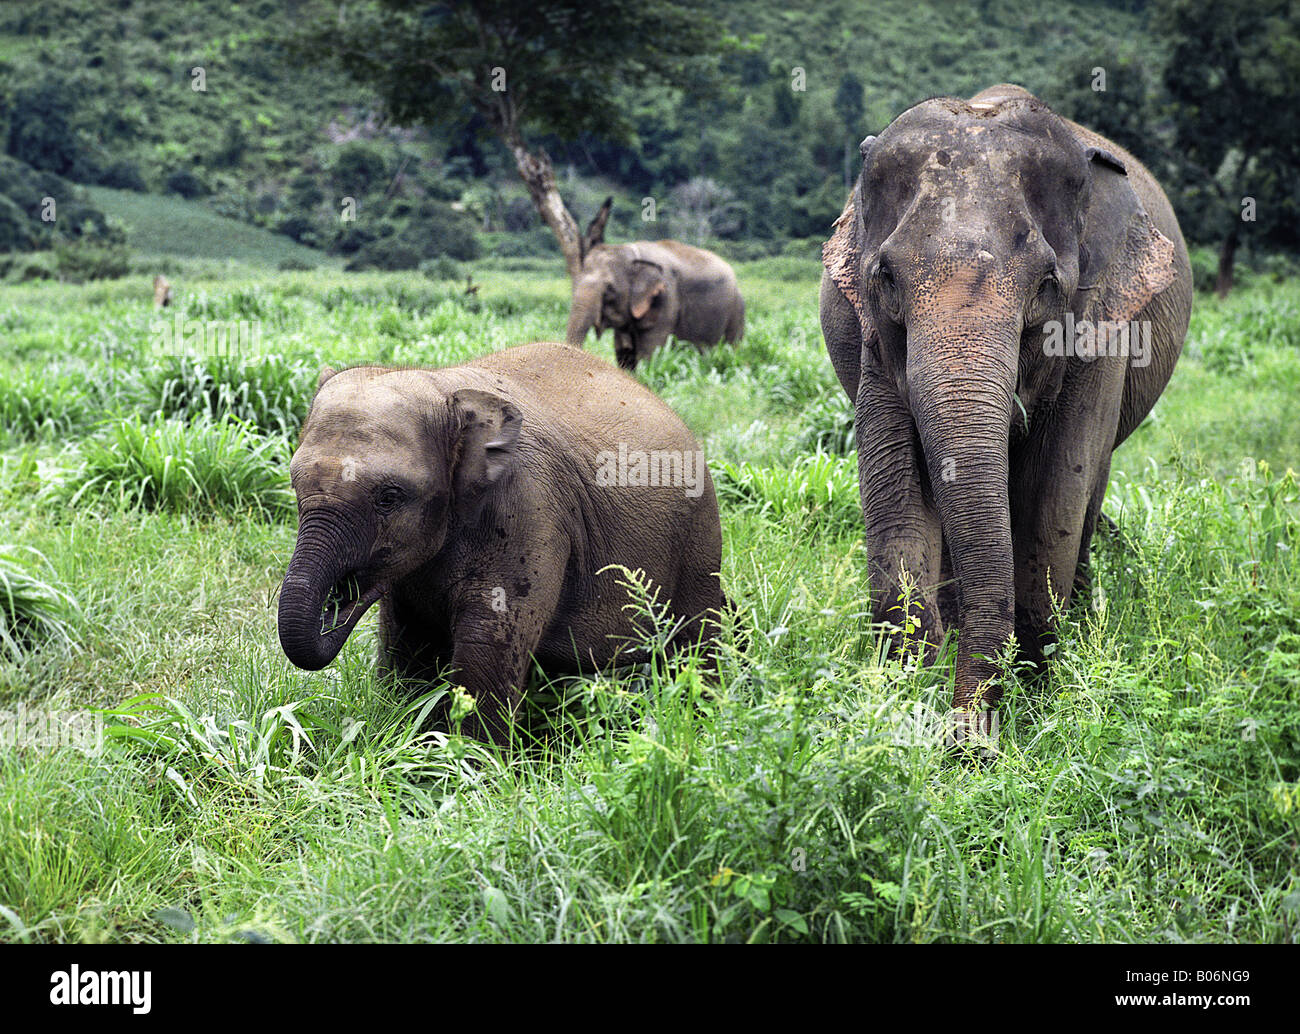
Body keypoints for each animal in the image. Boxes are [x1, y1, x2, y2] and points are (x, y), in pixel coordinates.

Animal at [277, 342, 726, 745]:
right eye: (295, 486)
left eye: (389, 497)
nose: (343, 598)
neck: (447, 388)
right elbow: (407, 643)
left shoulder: (530, 513)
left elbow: (487, 642)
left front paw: (473, 765)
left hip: (700, 535)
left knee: (700, 631)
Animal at [565, 198, 745, 370]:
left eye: (609, 290)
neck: (632, 254)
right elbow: (624, 354)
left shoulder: (665, 301)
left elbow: (650, 354)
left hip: (737, 311)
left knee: (732, 347)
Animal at [820, 83, 1192, 737]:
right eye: (885, 277)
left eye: (1047, 284)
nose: (964, 741)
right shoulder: (874, 344)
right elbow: (897, 483)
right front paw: (908, 699)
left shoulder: (1101, 331)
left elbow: (1054, 492)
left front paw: (1034, 702)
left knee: (1086, 494)